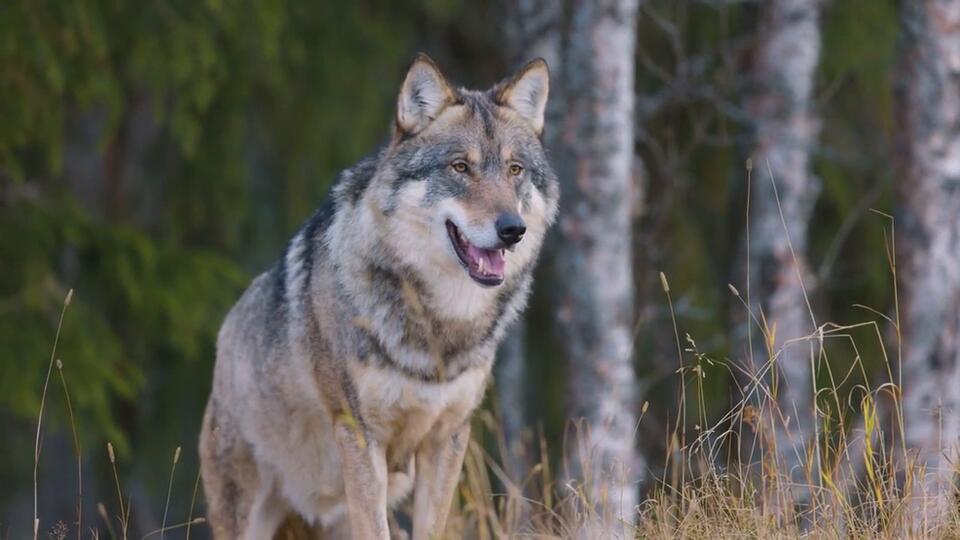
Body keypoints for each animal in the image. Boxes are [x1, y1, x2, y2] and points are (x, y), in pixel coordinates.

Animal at [199, 54, 558, 539]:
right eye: (460, 167)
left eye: (515, 170)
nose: (512, 230)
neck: (437, 324)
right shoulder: (361, 435)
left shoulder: (447, 438)